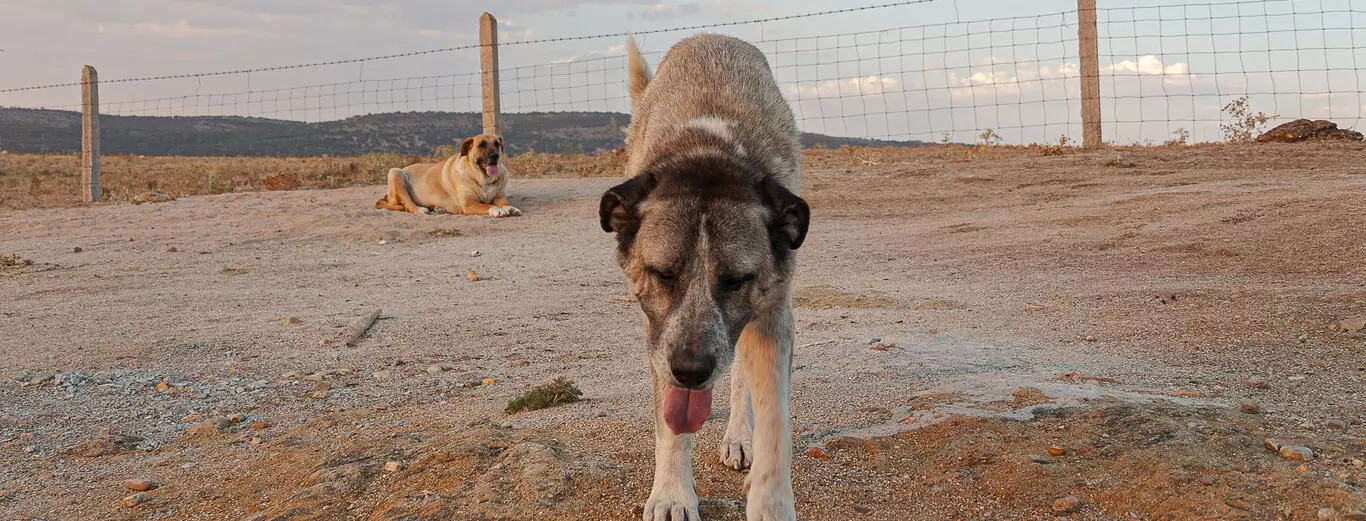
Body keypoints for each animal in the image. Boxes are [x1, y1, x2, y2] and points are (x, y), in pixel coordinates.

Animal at [374, 134, 521, 217]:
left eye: (497, 144)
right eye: (481, 145)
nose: (495, 156)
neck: (482, 179)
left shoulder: (498, 198)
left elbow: (504, 203)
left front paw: (510, 208)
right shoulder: (468, 204)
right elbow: (487, 206)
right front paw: (497, 210)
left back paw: (438, 208)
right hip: (395, 172)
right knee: (408, 204)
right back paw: (421, 209)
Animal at [601, 34, 808, 516]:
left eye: (735, 280)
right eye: (663, 273)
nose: (691, 371)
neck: (709, 152)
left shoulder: (774, 314)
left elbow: (774, 422)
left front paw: (771, 504)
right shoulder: (658, 335)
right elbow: (670, 422)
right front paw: (672, 493)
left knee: (739, 377)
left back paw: (738, 436)